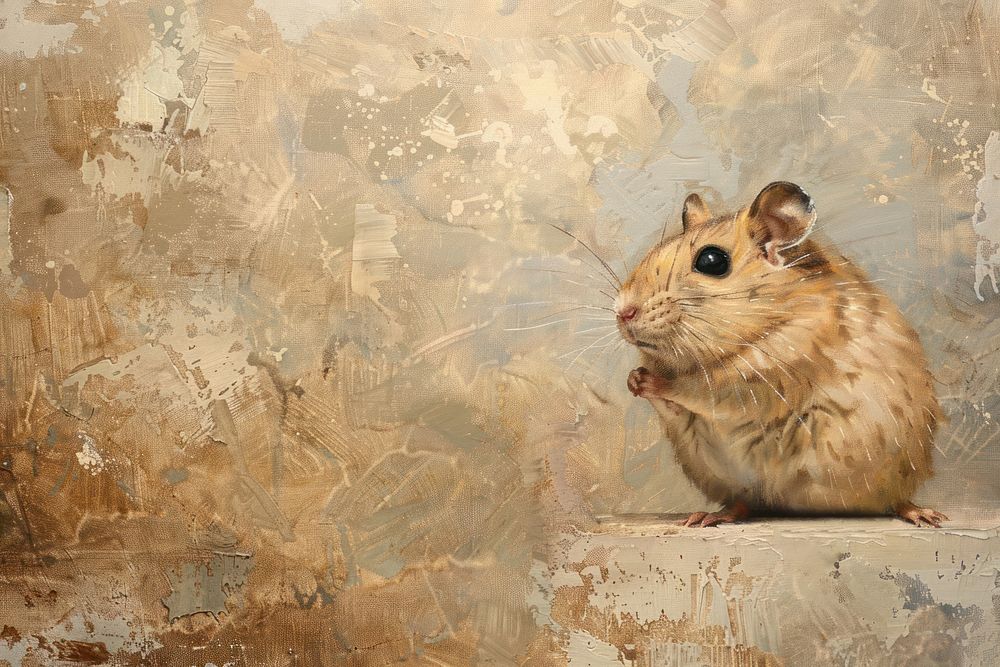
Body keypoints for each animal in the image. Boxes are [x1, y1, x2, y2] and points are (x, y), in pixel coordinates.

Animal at [616, 182, 947, 527]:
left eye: (711, 261)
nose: (622, 313)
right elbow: (676, 409)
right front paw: (634, 380)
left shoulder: (764, 381)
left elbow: (696, 391)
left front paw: (652, 382)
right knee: (744, 503)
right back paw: (709, 515)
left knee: (894, 500)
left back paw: (921, 513)